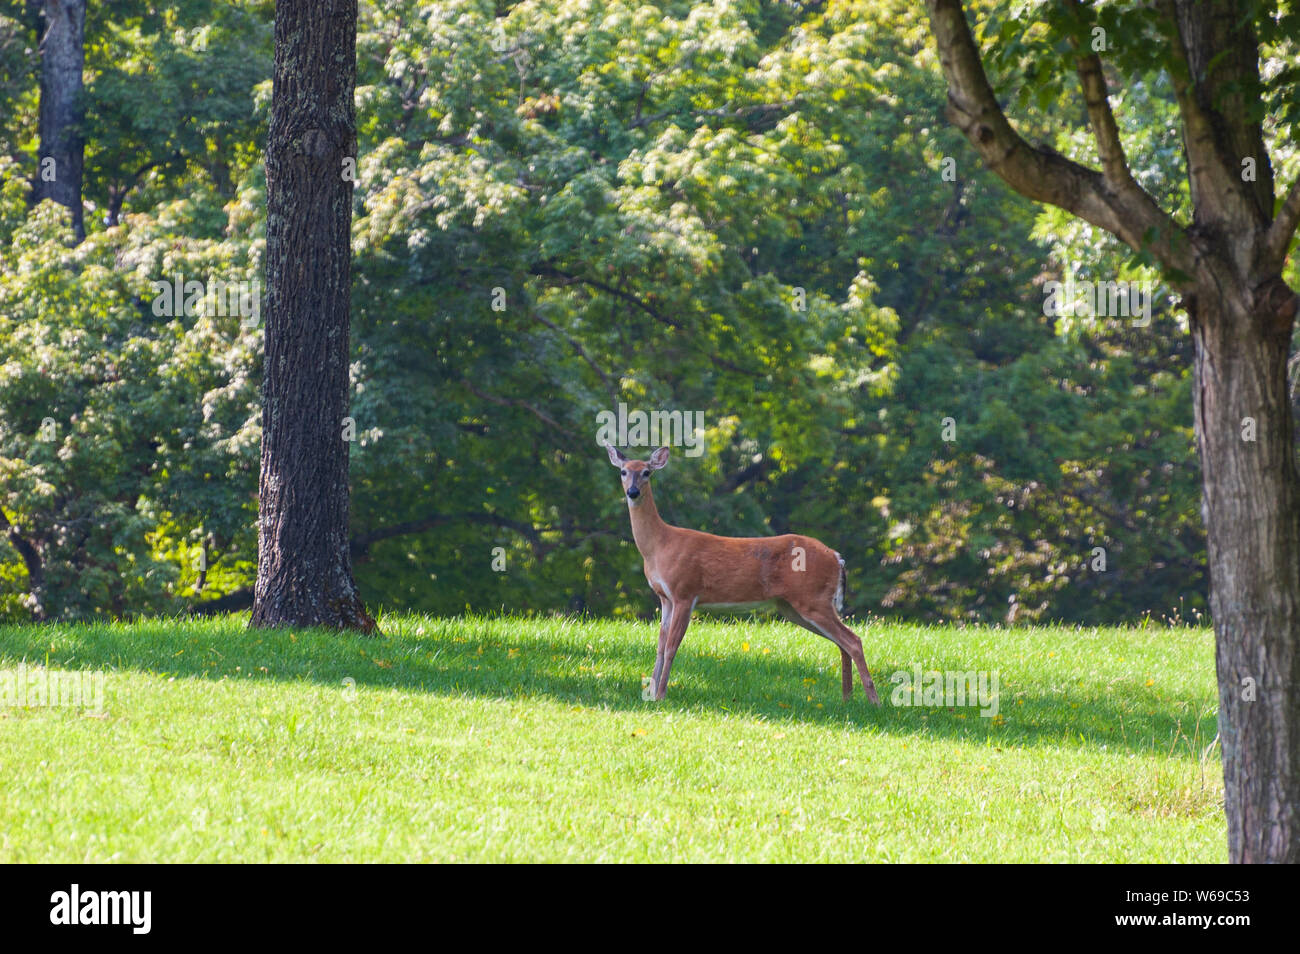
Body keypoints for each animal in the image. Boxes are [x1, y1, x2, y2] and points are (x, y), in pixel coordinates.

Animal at [607, 444, 880, 705]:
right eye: (623, 471)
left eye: (647, 472)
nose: (633, 492)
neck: (659, 545)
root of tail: (836, 557)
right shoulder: (665, 598)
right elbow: (660, 646)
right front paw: (651, 694)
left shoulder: (685, 591)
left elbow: (672, 646)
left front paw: (661, 695)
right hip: (794, 606)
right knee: (842, 642)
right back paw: (846, 699)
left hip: (813, 598)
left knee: (853, 640)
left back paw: (873, 702)